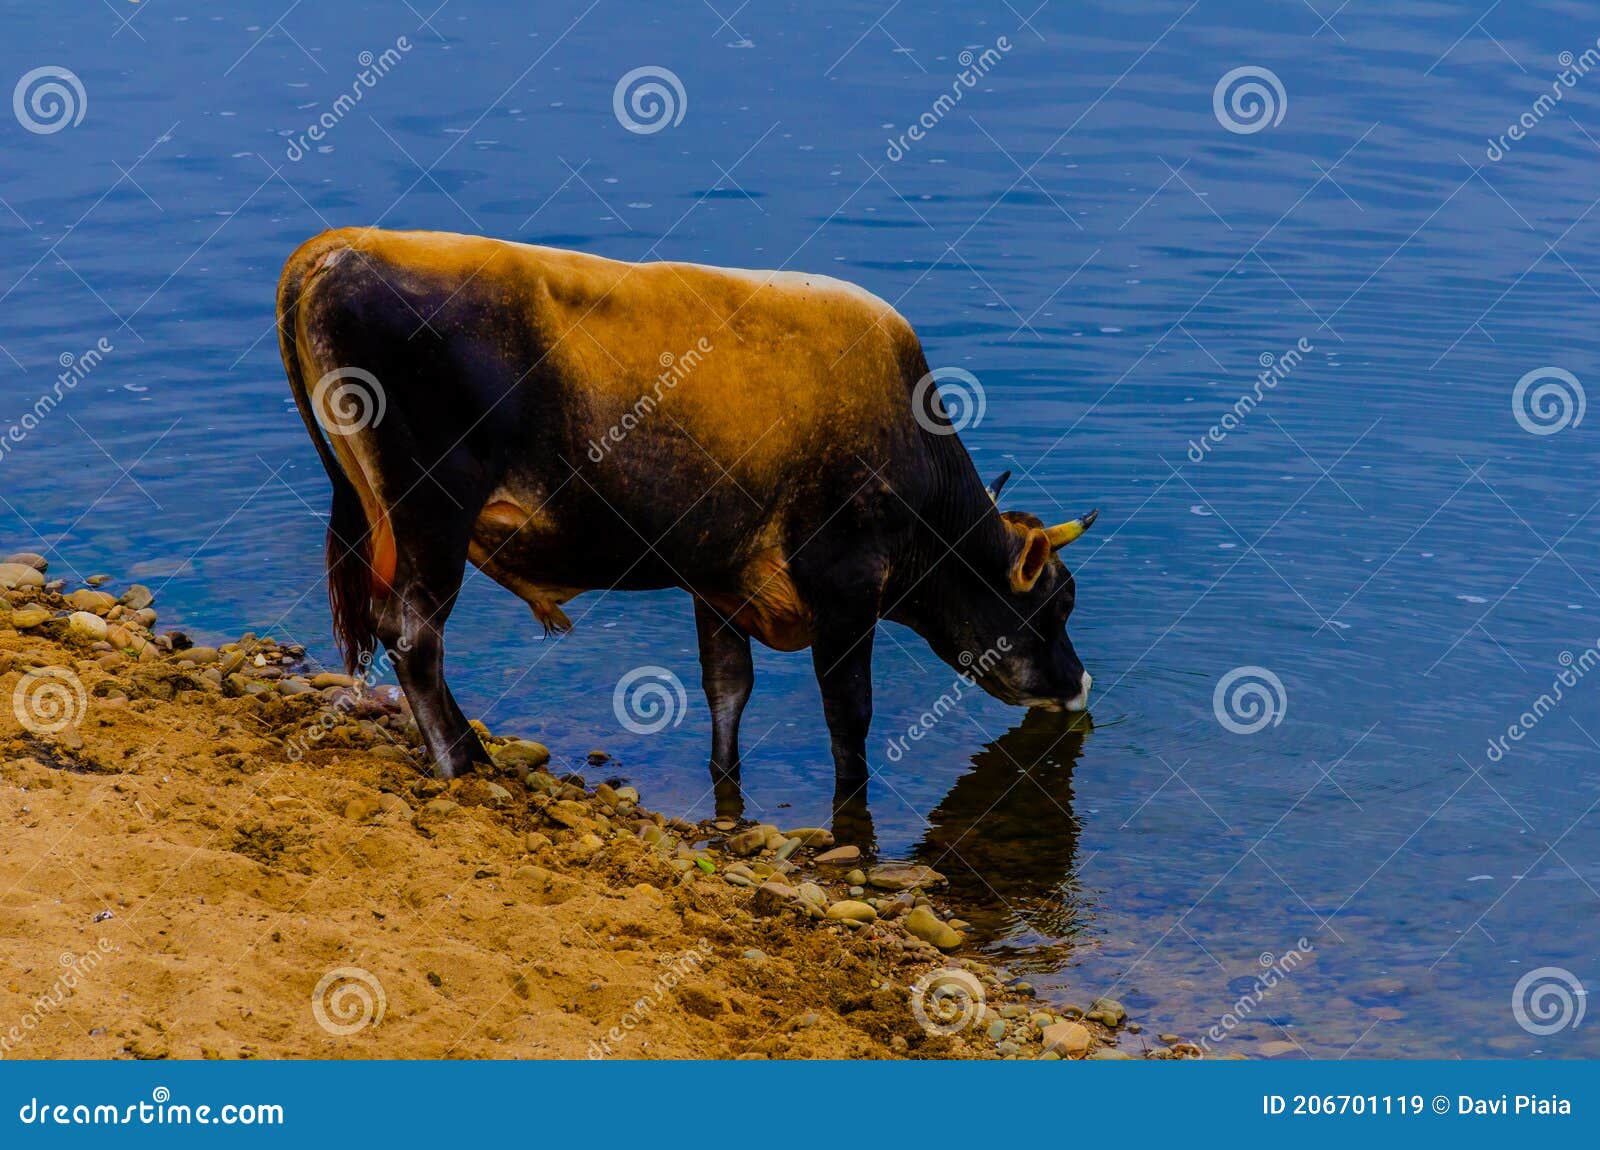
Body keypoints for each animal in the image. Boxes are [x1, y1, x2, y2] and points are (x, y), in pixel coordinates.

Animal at [277, 227, 1097, 816]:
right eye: (1057, 603)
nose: (1080, 683)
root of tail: (342, 245)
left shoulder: (719, 579)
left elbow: (727, 690)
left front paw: (725, 779)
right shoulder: (847, 585)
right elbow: (848, 714)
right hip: (432, 512)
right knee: (415, 636)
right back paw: (458, 761)